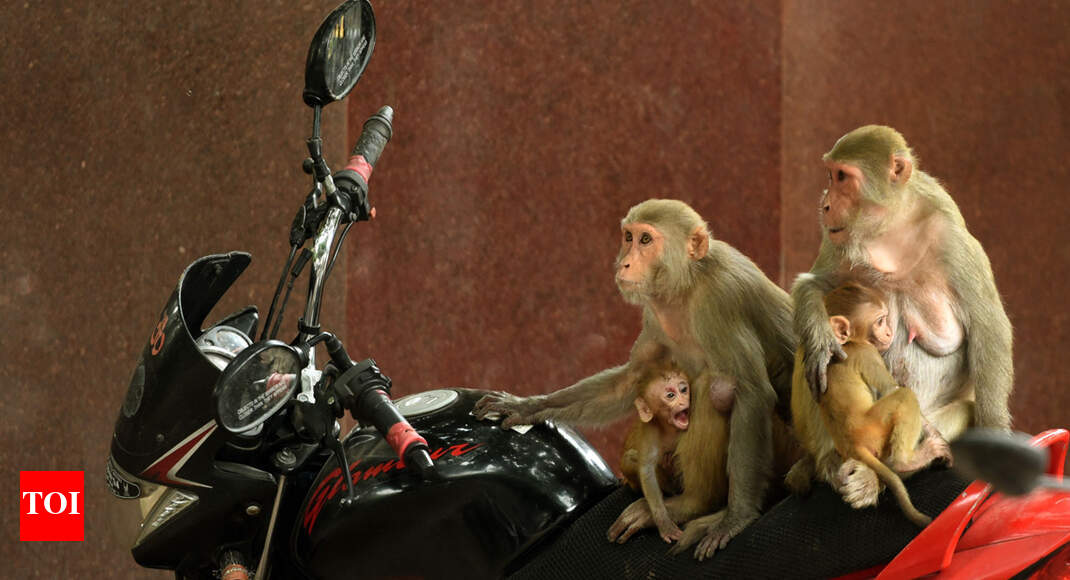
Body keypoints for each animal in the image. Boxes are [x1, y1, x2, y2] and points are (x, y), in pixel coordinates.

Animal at [618, 359, 696, 543]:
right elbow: (647, 470)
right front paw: (665, 525)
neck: (670, 428)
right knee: (630, 458)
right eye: (670, 396)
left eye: (683, 390)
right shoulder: (650, 431)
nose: (683, 401)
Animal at [786, 283, 951, 526]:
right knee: (905, 396)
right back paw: (906, 461)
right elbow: (890, 389)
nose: (889, 332)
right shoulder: (868, 352)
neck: (850, 343)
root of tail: (854, 445)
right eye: (880, 320)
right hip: (875, 428)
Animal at [792, 125, 1013, 508]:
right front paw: (821, 341)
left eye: (842, 177)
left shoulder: (951, 237)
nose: (825, 204)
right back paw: (829, 461)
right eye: (830, 174)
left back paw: (881, 473)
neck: (890, 228)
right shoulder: (837, 239)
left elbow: (989, 327)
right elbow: (815, 285)